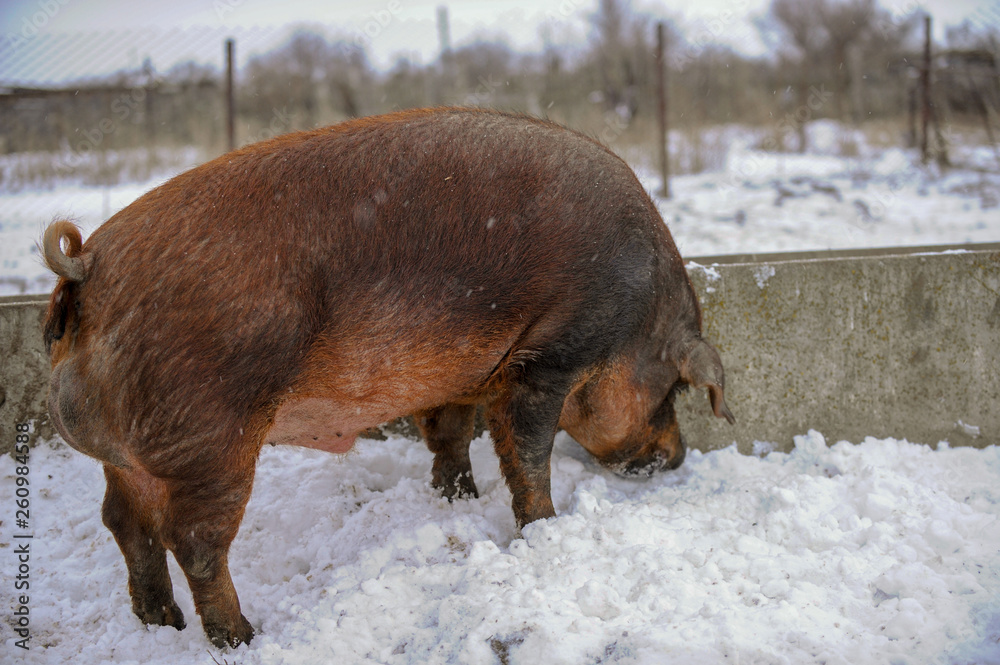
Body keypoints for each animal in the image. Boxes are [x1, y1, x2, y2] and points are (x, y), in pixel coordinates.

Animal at [42, 107, 734, 648]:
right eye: (674, 389)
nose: (677, 457)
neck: (638, 317)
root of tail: (86, 268)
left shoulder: (465, 377)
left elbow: (449, 435)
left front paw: (459, 499)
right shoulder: (550, 358)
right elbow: (527, 448)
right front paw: (544, 527)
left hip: (129, 458)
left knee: (124, 522)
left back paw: (161, 625)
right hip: (212, 436)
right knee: (194, 539)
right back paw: (242, 637)